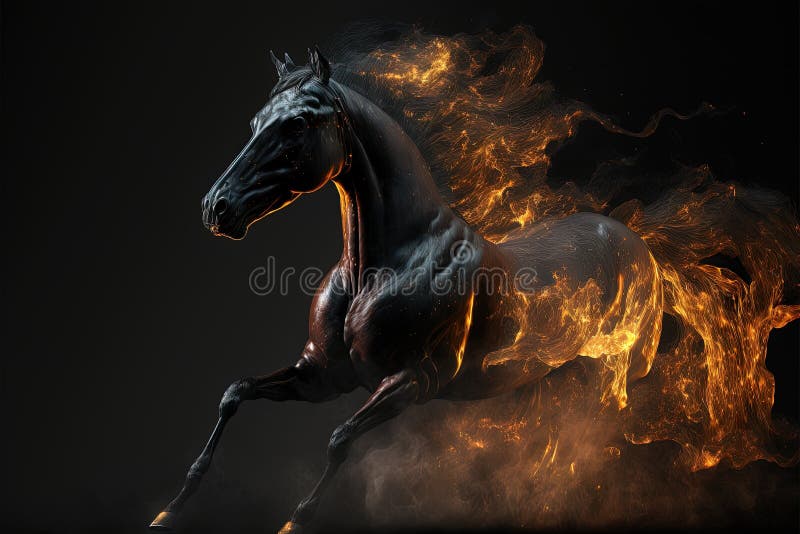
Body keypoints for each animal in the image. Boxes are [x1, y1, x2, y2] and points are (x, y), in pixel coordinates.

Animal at [149, 47, 663, 532]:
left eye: (296, 123)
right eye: (256, 121)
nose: (216, 207)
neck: (380, 269)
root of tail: (638, 245)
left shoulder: (412, 381)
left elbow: (339, 439)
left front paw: (296, 519)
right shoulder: (321, 376)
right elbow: (234, 393)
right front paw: (170, 509)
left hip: (609, 377)